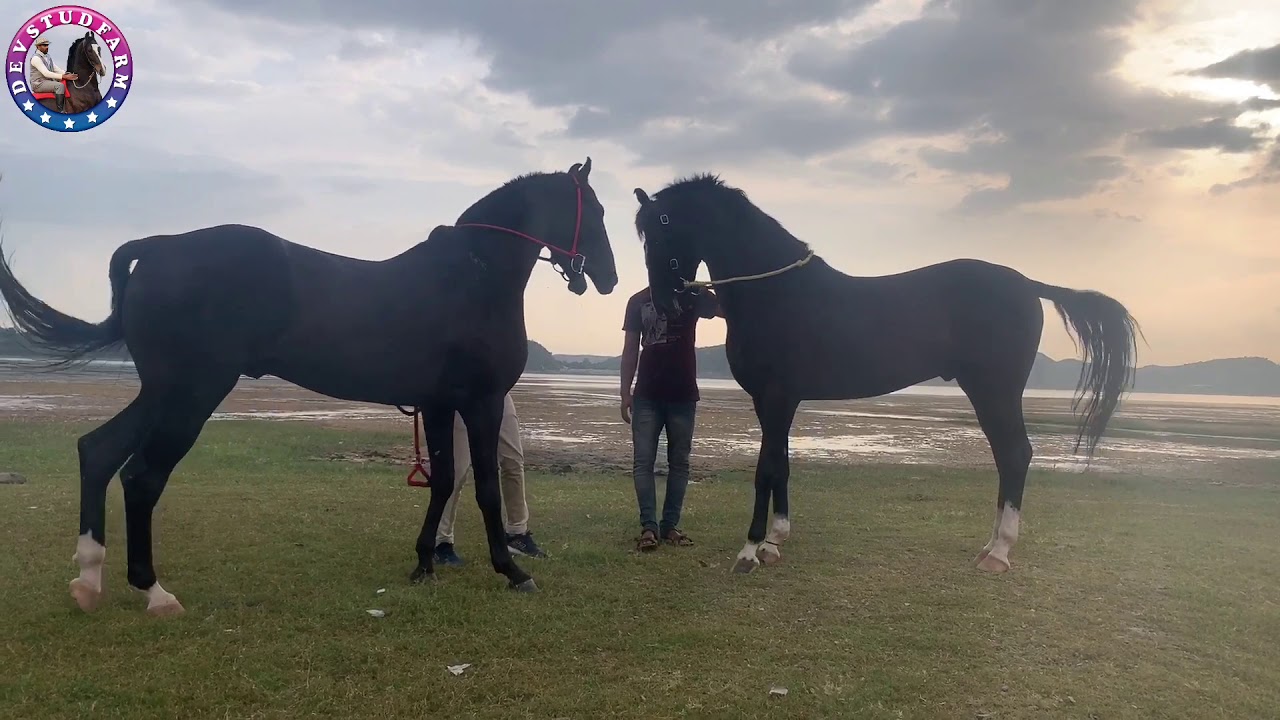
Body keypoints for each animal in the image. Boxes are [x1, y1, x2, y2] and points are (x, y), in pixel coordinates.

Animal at [0, 159, 618, 617]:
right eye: (597, 211)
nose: (610, 277)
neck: (473, 276)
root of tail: (159, 246)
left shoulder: (441, 406)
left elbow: (443, 482)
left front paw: (423, 562)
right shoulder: (481, 404)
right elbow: (486, 489)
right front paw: (512, 570)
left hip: (162, 392)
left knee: (99, 451)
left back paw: (89, 579)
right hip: (190, 394)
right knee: (142, 477)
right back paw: (154, 591)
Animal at [631, 174, 1139, 576]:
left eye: (662, 229)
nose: (666, 301)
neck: (778, 292)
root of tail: (1027, 283)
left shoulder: (775, 397)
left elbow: (765, 469)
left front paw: (750, 550)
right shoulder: (776, 401)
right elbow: (783, 466)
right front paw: (776, 540)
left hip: (994, 390)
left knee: (1015, 454)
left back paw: (999, 552)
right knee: (1007, 456)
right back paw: (990, 545)